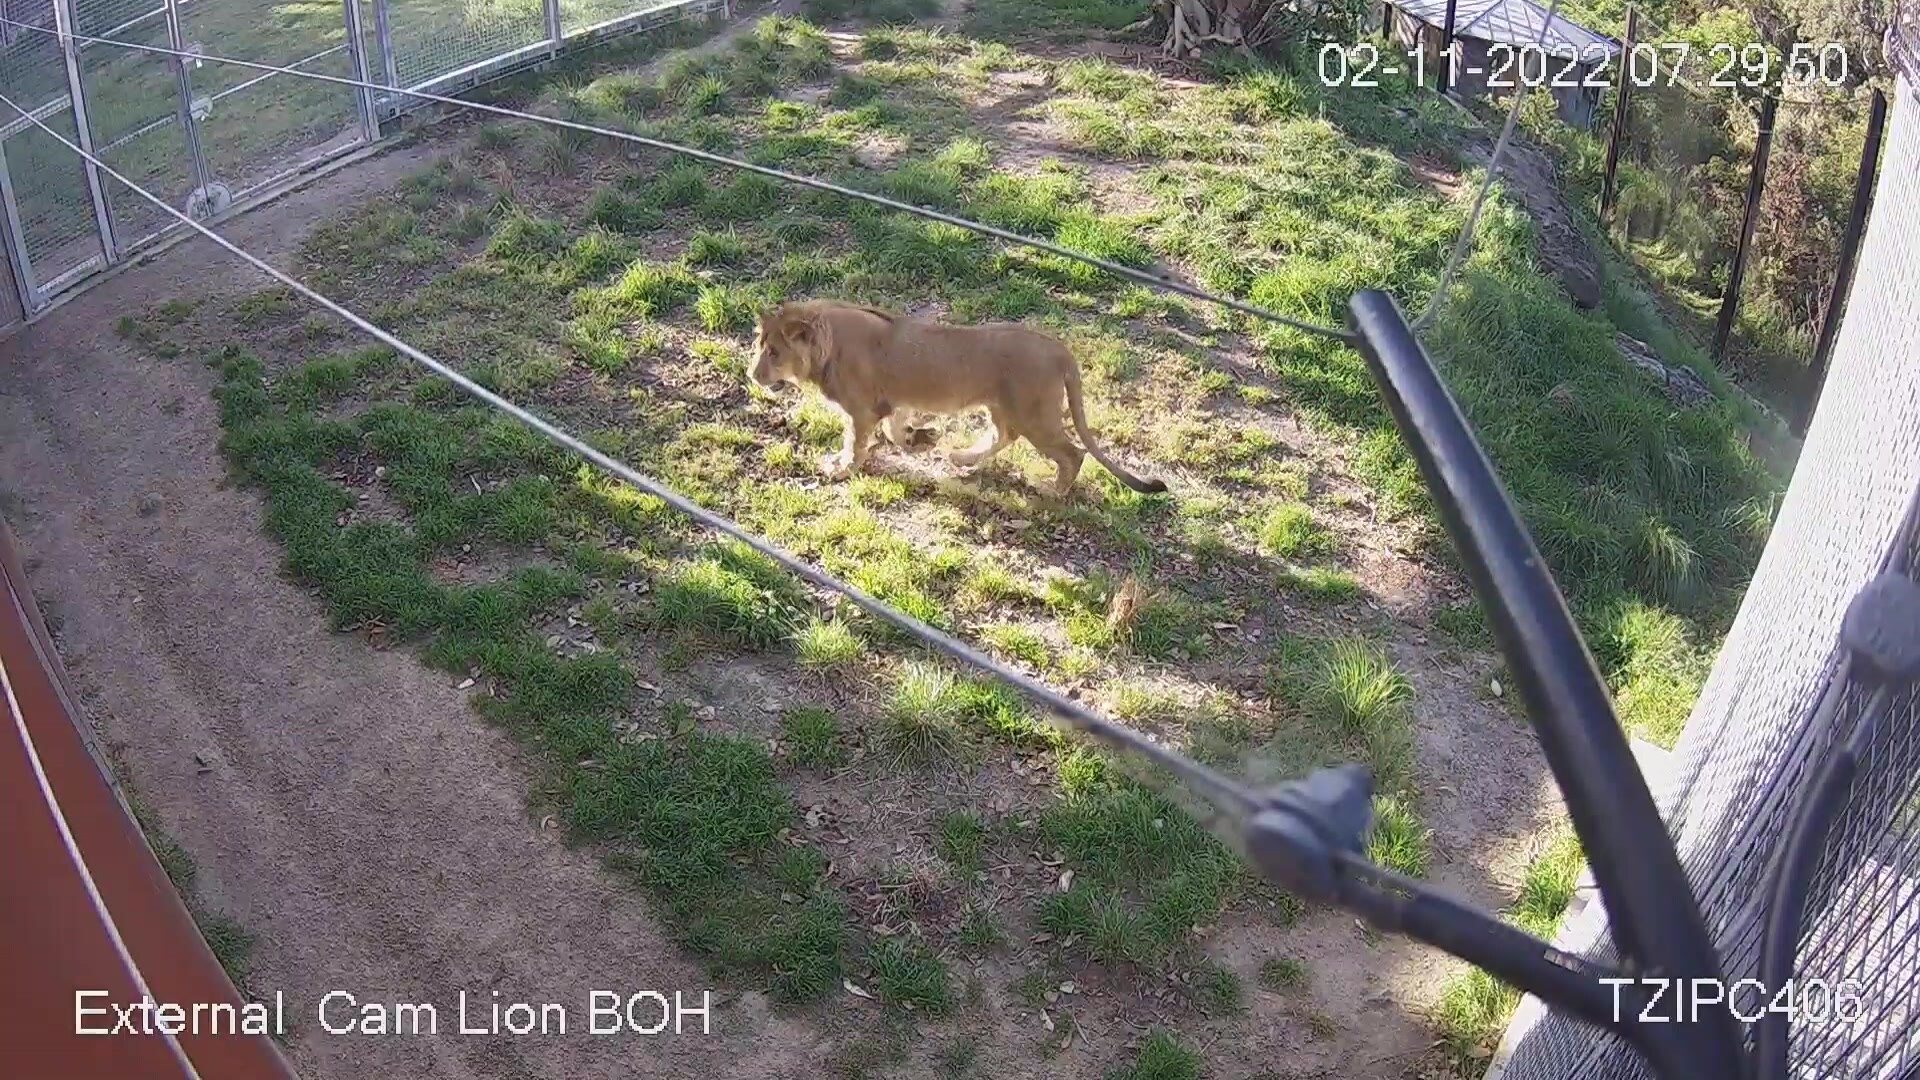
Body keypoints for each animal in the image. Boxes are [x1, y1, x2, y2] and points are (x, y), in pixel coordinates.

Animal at [750, 300, 1166, 498]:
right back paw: (962, 458)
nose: (753, 375)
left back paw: (1053, 490)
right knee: (1004, 435)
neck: (826, 343)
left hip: (1034, 414)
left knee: (1073, 453)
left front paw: (841, 468)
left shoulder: (861, 411)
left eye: (774, 353)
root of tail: (1060, 348)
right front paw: (918, 440)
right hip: (1003, 407)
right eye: (759, 347)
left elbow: (855, 442)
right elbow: (894, 428)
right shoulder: (890, 402)